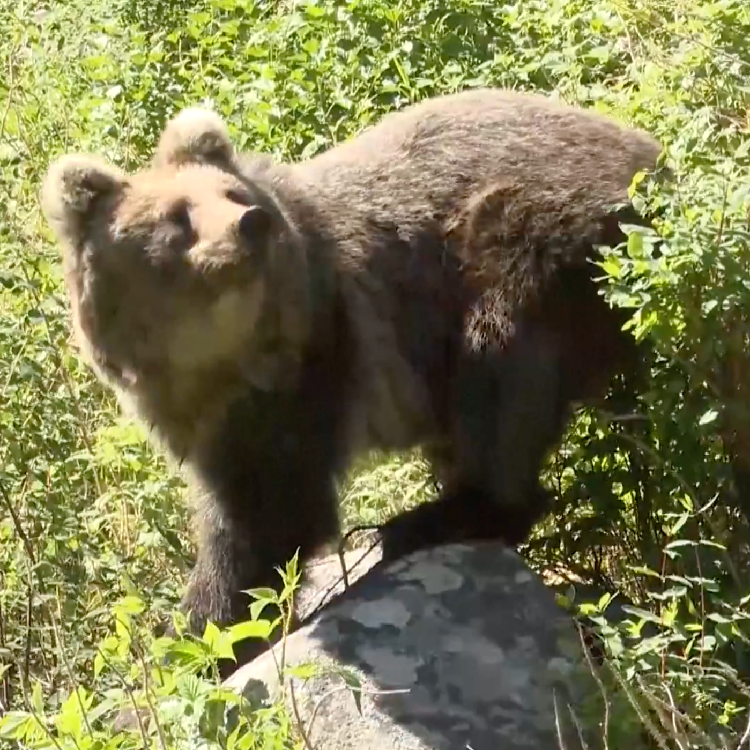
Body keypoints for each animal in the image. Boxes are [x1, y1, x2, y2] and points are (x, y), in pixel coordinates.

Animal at [41, 88, 663, 673]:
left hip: (537, 249)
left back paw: (426, 521)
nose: (250, 225)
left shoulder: (305, 369)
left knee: (498, 368)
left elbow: (268, 515)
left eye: (233, 195)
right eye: (177, 217)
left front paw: (198, 640)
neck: (214, 361)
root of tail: (657, 159)